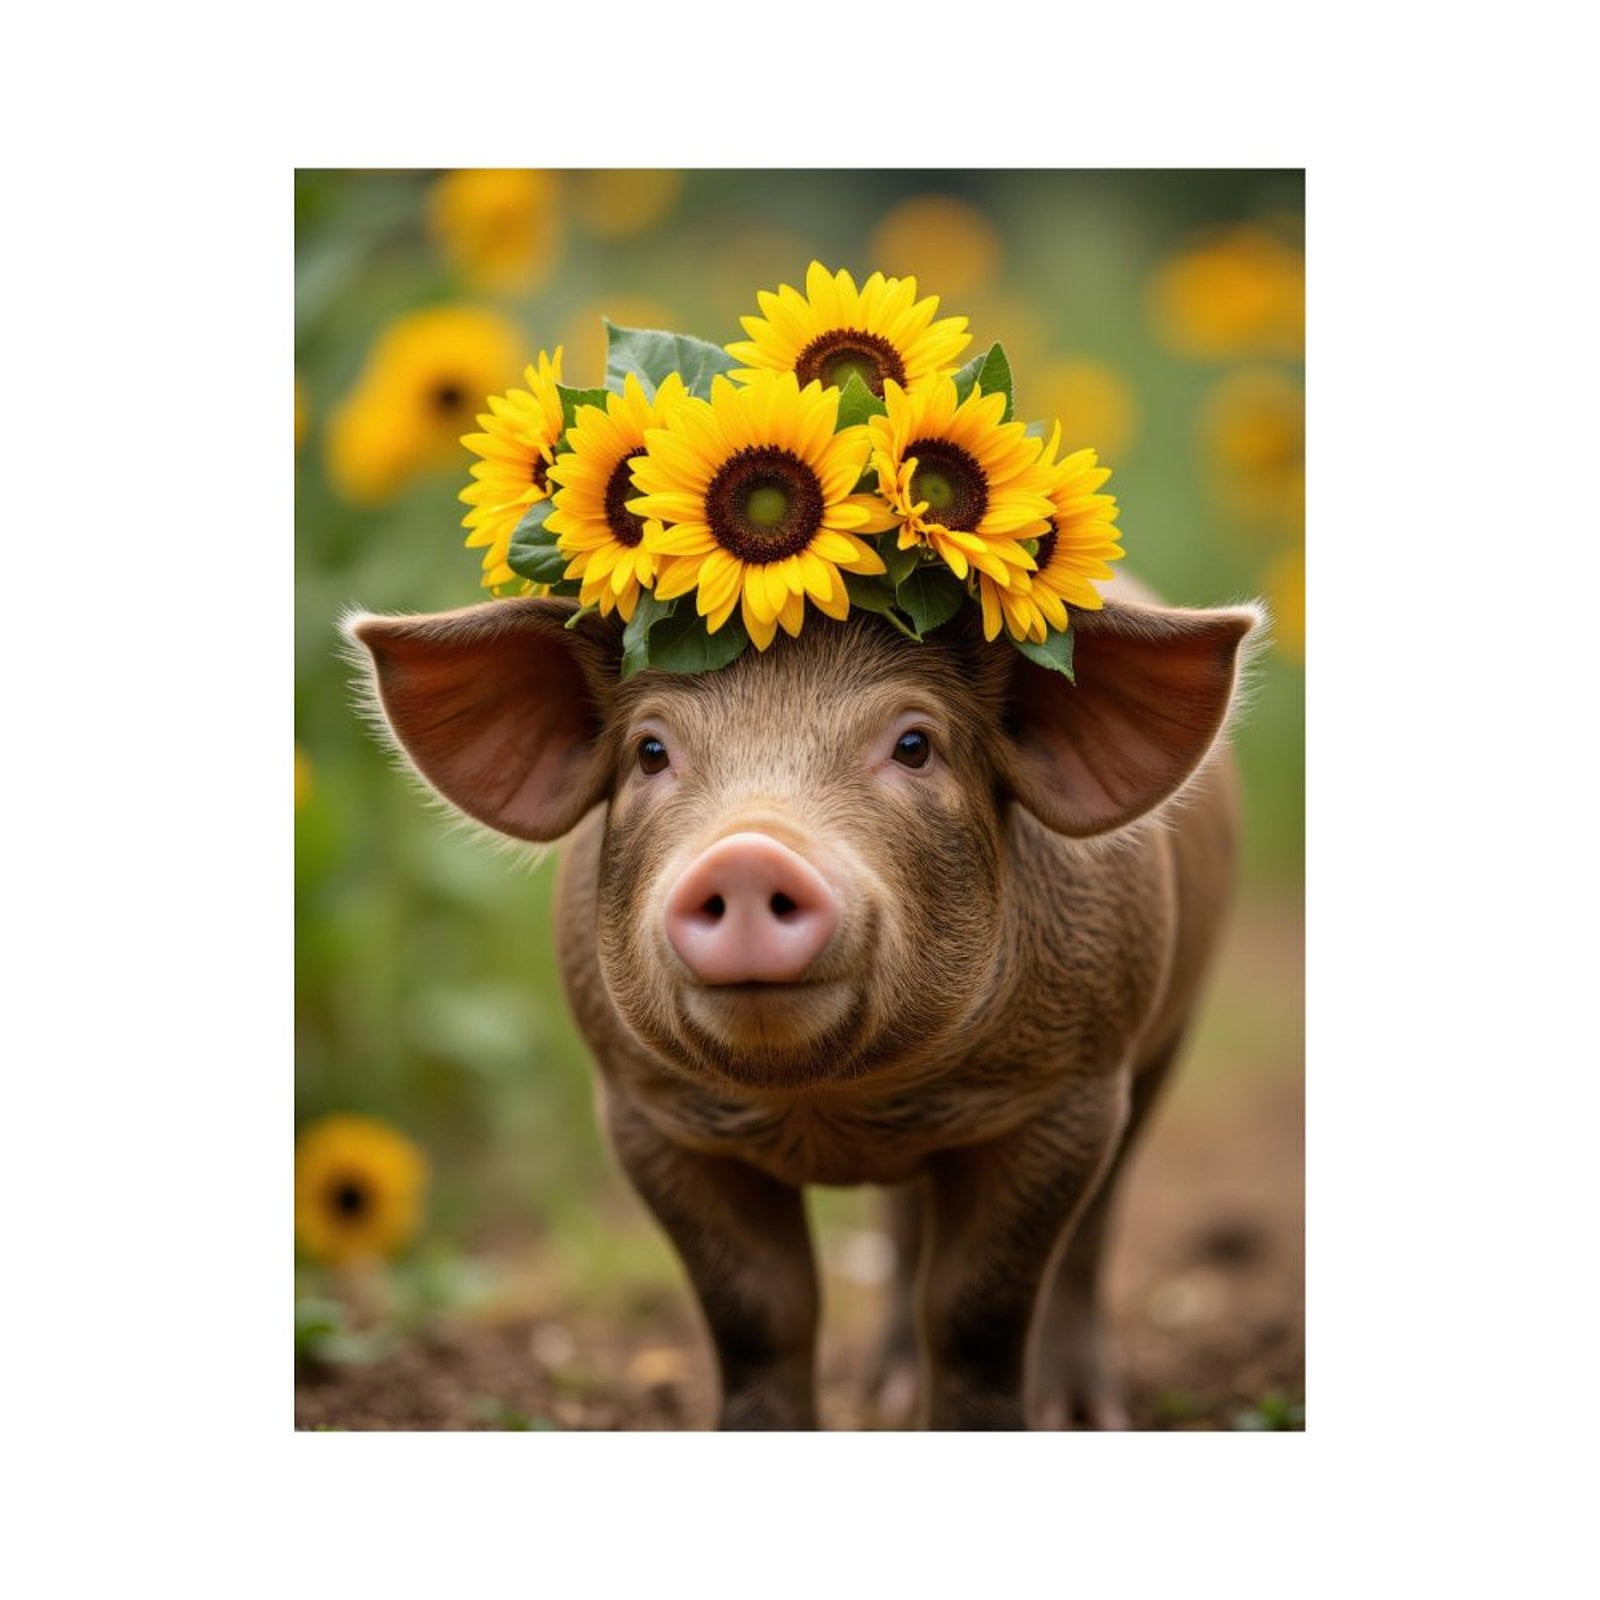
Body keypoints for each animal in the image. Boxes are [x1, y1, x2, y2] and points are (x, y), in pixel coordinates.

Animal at [348, 571, 1260, 1430]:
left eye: (915, 744)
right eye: (650, 752)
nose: (749, 853)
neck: (828, 1108)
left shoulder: (1066, 1093)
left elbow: (976, 1310)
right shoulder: (646, 1111)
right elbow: (760, 1310)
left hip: (1156, 1044)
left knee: (1092, 1228)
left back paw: (1077, 1414)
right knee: (904, 1226)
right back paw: (889, 1393)